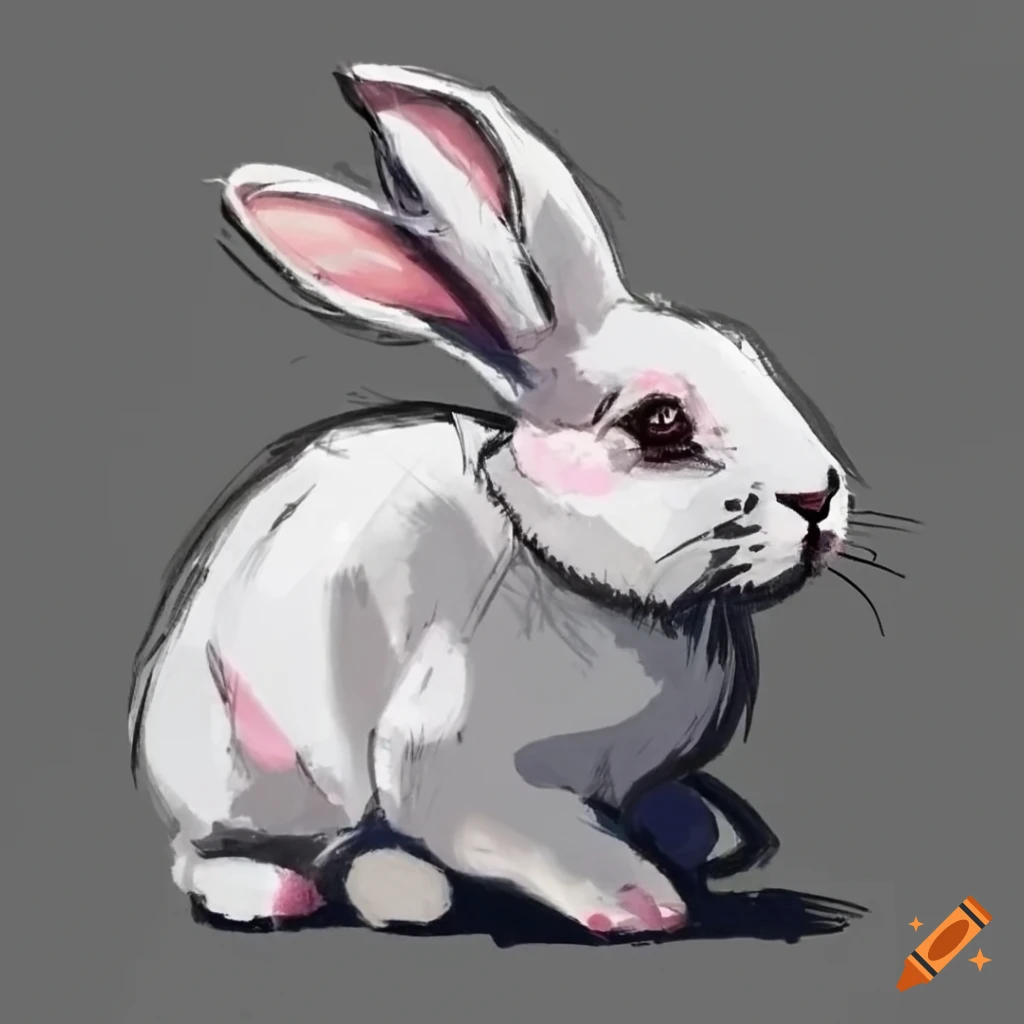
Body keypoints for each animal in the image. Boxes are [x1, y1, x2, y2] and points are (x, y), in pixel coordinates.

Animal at [129, 62, 863, 936]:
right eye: (659, 422)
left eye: (747, 353)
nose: (819, 496)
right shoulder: (458, 771)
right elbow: (520, 831)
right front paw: (640, 903)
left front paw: (698, 833)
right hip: (255, 769)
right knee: (233, 855)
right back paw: (338, 893)